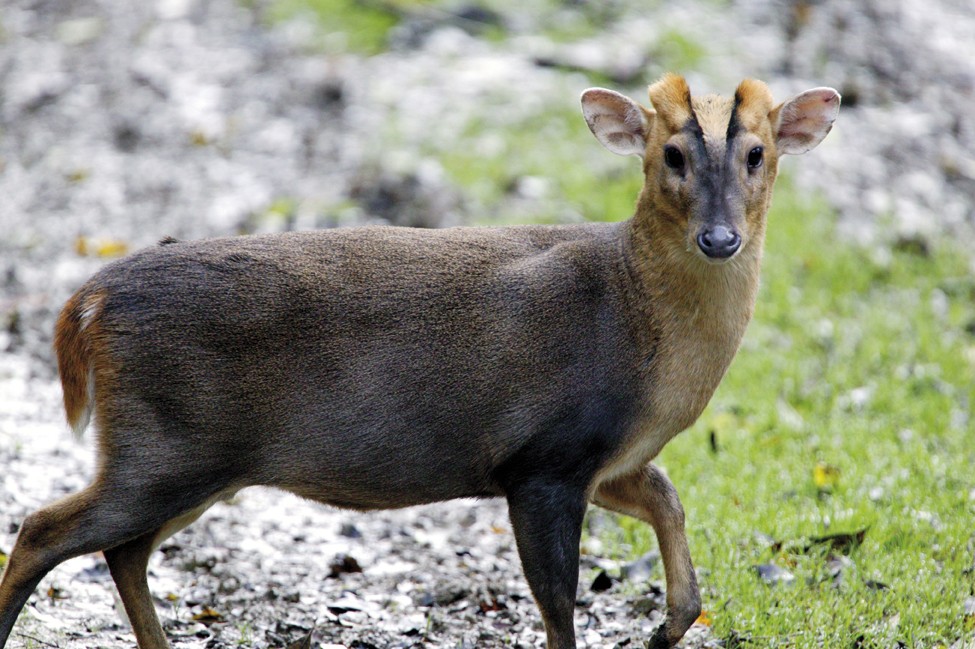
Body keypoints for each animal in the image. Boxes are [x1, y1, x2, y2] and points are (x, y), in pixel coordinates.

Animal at [0, 73, 839, 649]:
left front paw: (666, 625)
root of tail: (90, 299)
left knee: (122, 548)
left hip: (186, 456)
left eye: (756, 153)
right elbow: (558, 602)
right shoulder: (542, 455)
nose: (719, 238)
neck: (643, 325)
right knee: (46, 528)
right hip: (165, 443)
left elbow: (667, 501)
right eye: (670, 154)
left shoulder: (606, 461)